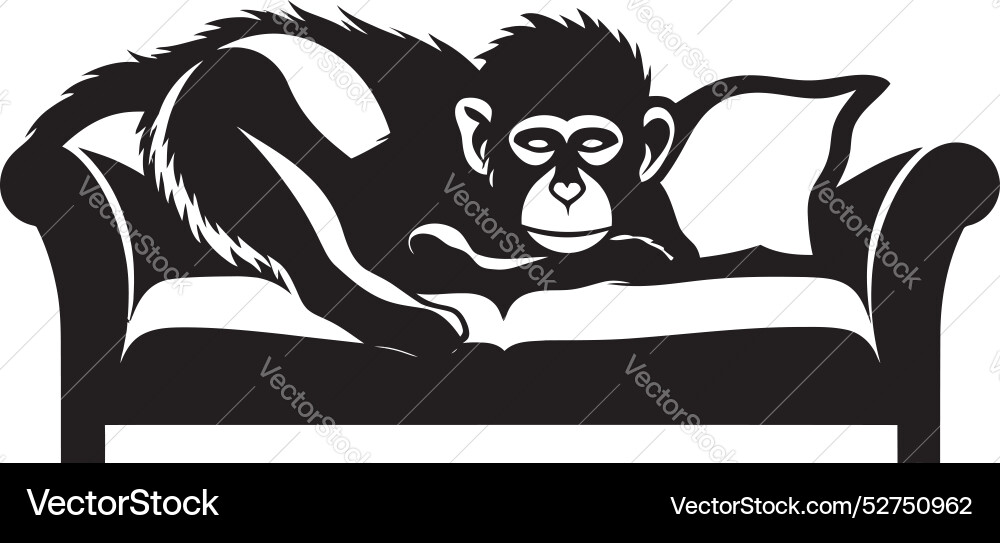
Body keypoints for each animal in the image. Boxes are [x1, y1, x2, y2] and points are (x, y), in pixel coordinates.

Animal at [1, 7, 892, 357]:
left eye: (593, 144)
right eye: (539, 144)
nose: (567, 185)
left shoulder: (654, 198)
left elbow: (680, 249)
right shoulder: (420, 171)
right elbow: (397, 243)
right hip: (221, 100)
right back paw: (395, 316)